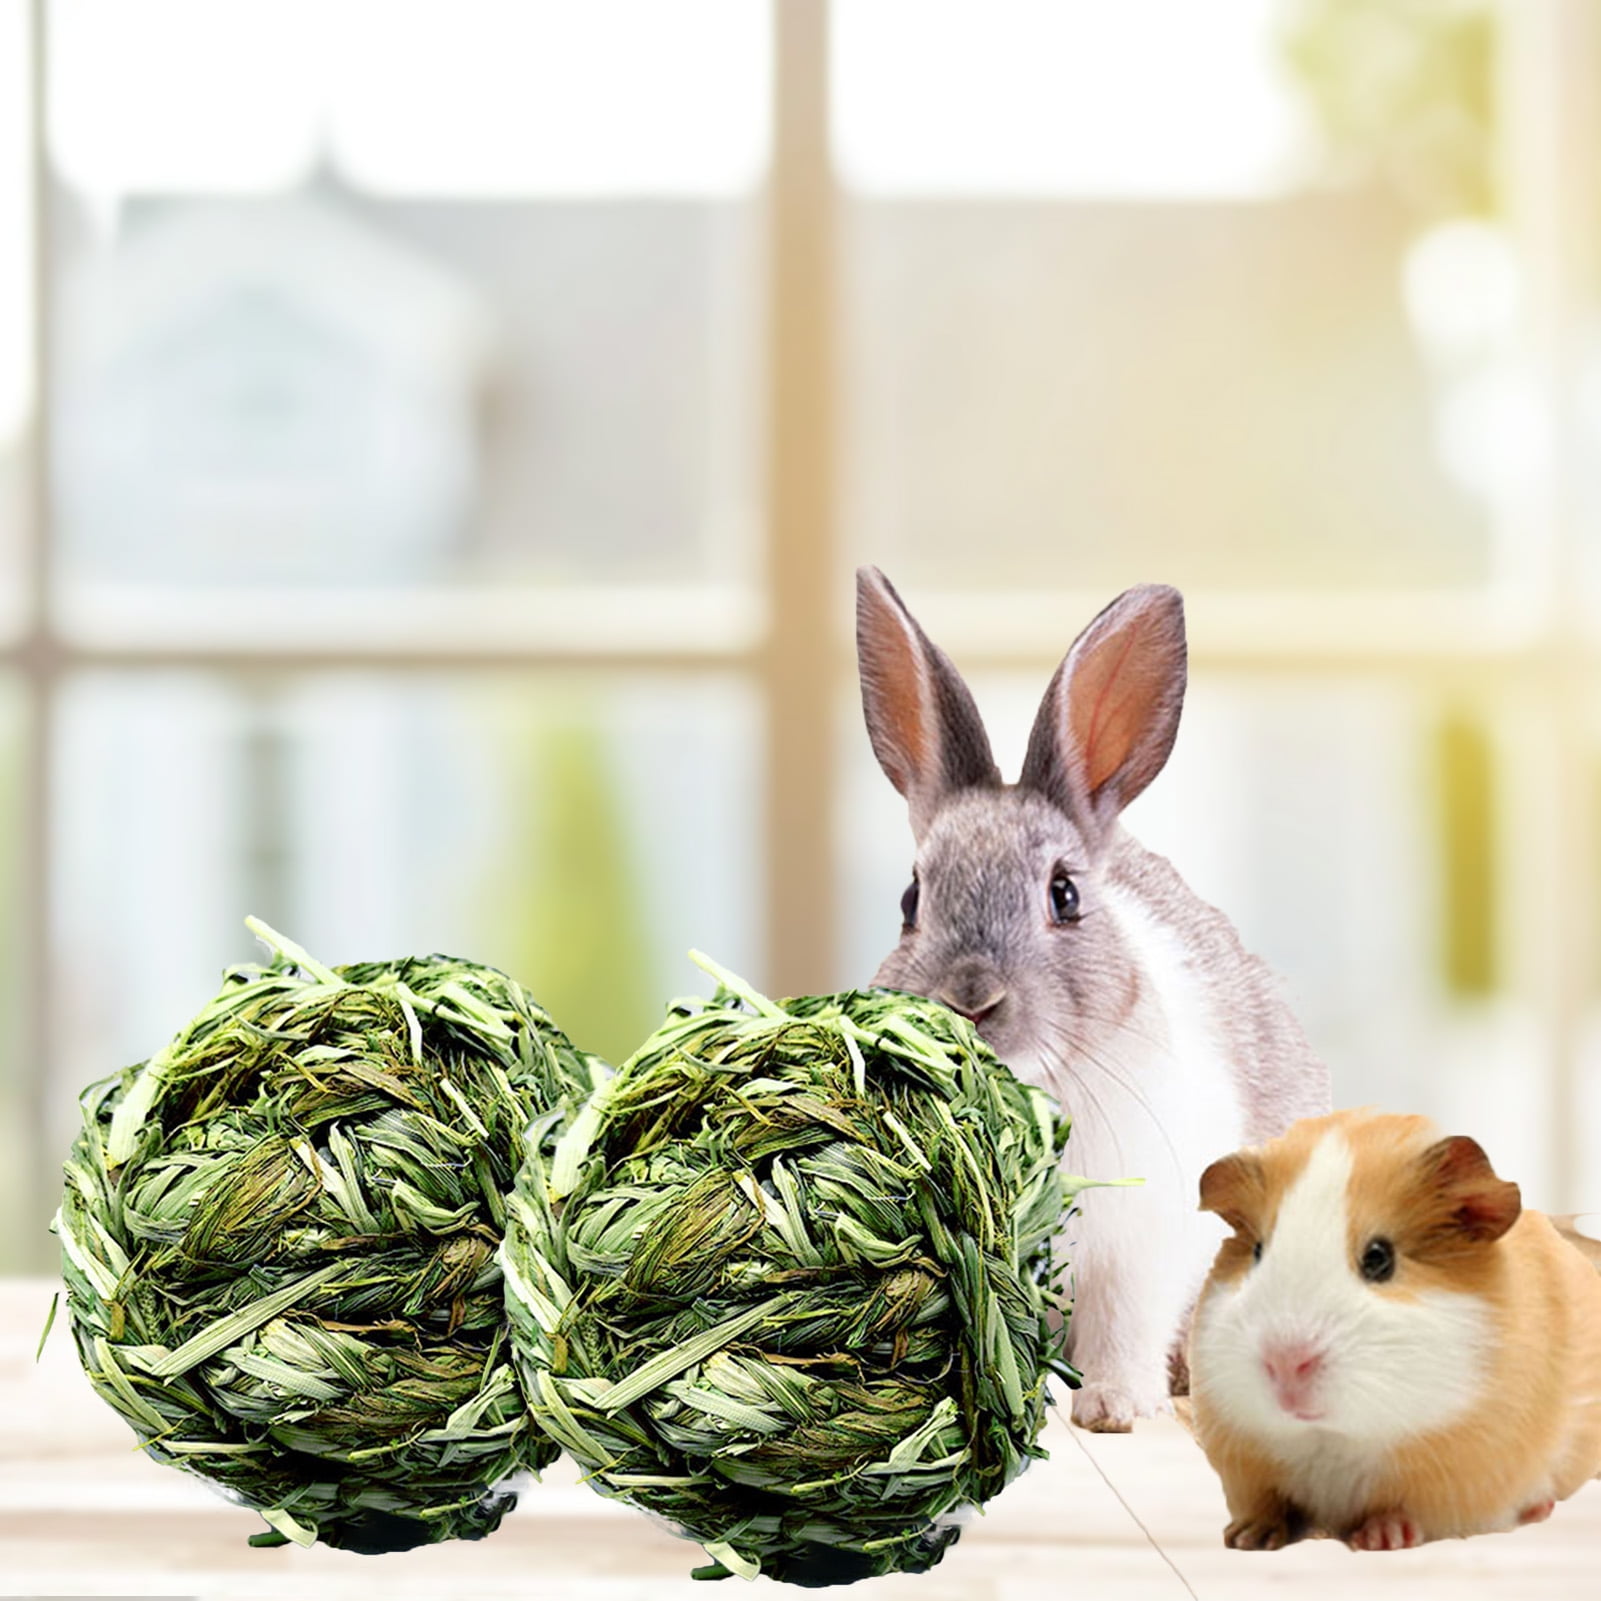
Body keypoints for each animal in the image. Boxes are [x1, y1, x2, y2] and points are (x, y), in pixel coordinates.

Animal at [856, 566, 1332, 1432]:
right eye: (910, 899)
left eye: (1065, 895)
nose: (971, 999)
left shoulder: (1142, 1249)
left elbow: (1124, 1325)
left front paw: (1112, 1406)